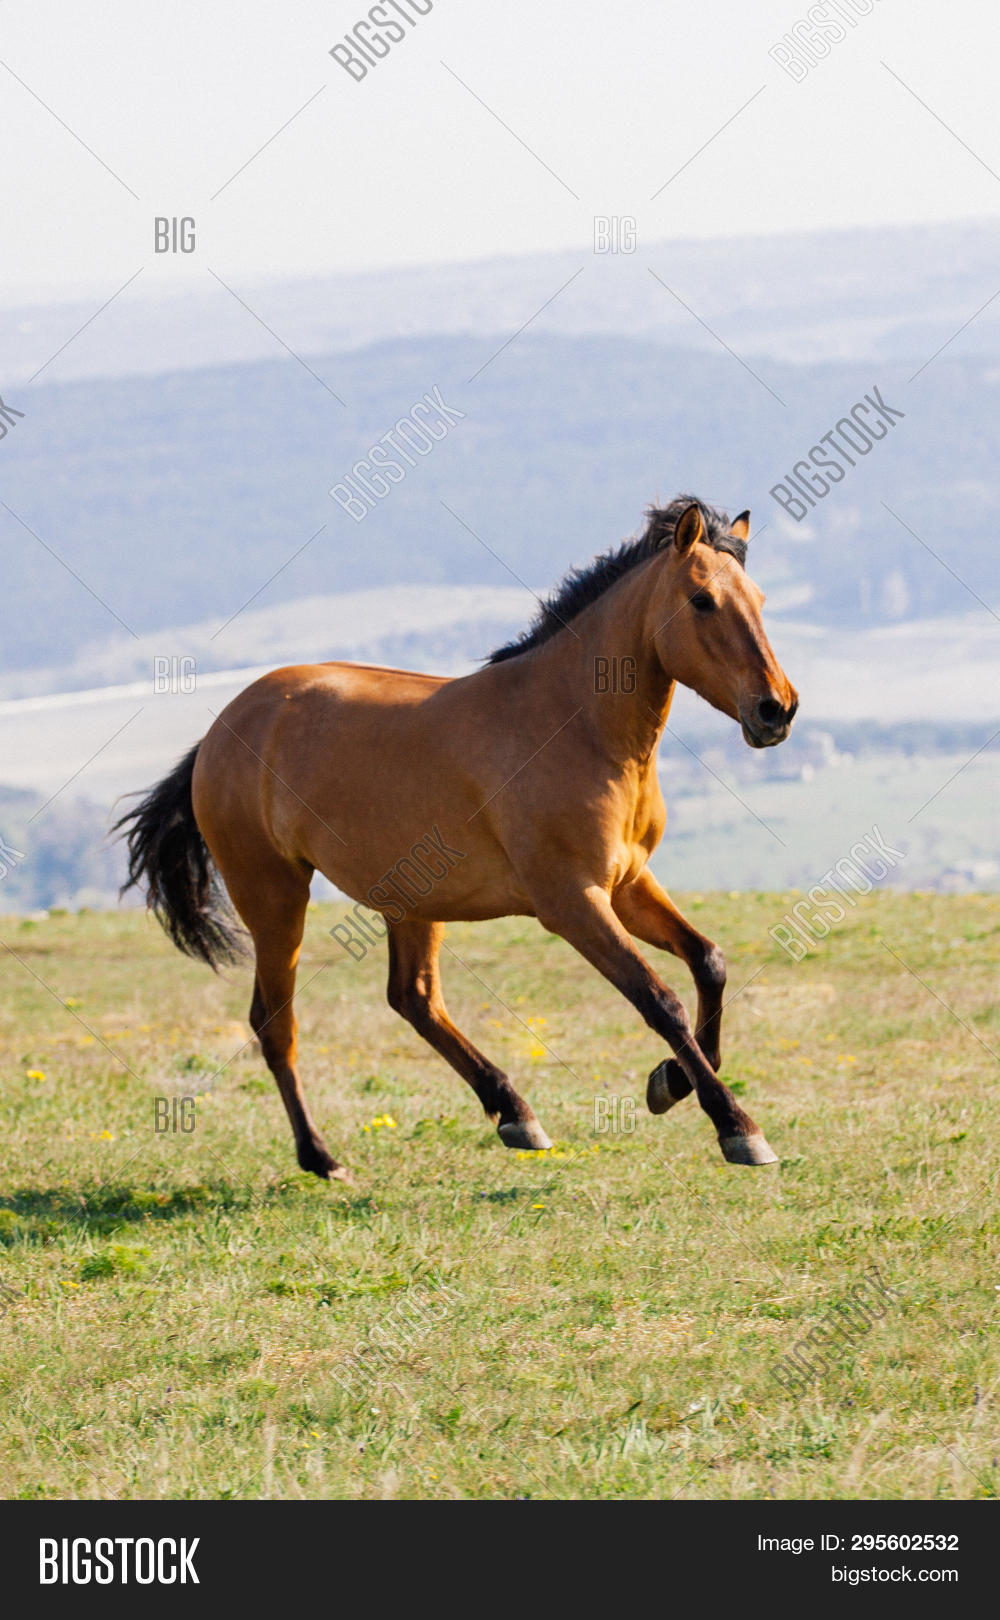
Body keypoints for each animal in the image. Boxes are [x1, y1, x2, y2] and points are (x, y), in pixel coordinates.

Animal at [116, 495, 798, 1181]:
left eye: (761, 599)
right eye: (702, 600)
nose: (777, 710)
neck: (575, 726)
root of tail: (222, 730)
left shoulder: (626, 884)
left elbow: (709, 962)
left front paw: (669, 1083)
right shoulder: (573, 902)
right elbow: (659, 1000)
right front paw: (737, 1128)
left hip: (410, 901)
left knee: (413, 999)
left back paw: (515, 1113)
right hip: (275, 897)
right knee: (275, 1021)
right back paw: (322, 1156)